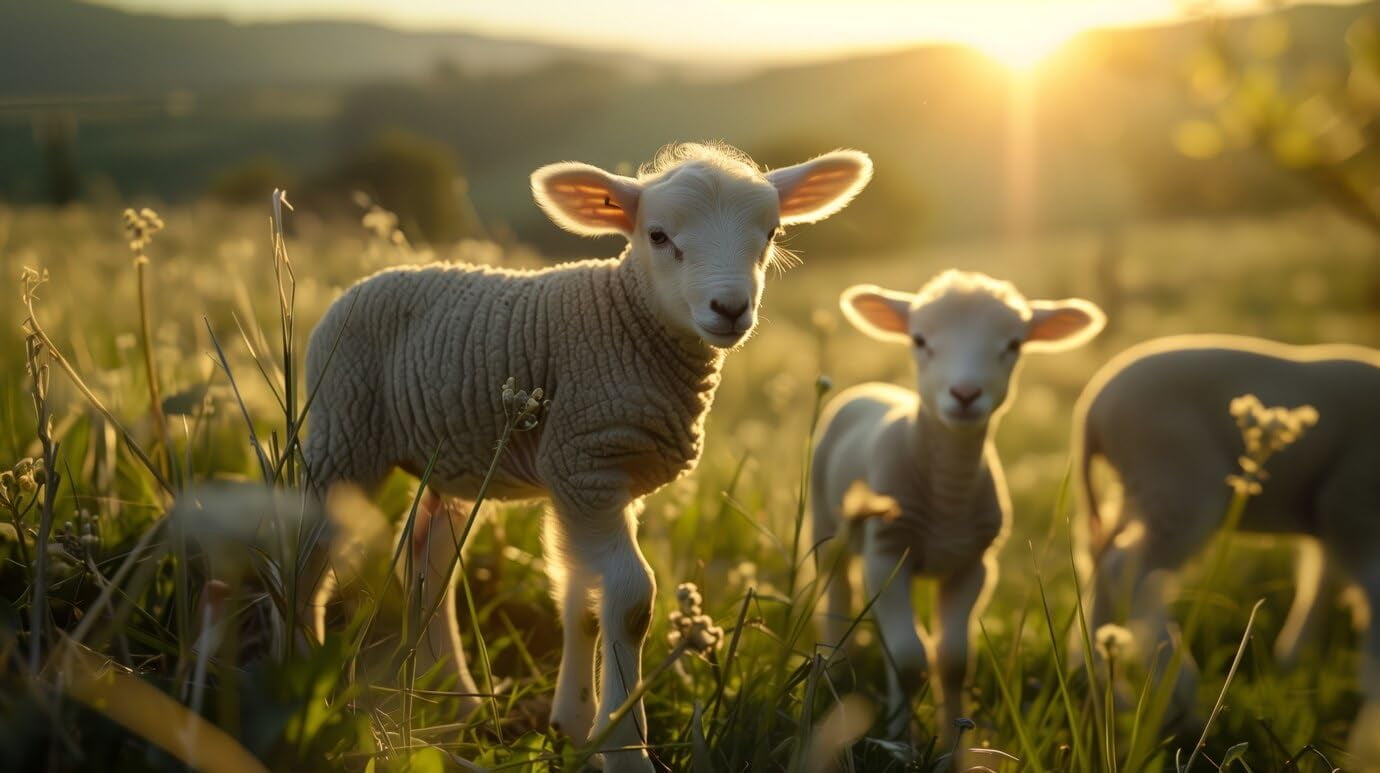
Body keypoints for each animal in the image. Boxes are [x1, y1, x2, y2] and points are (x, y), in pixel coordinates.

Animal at [302, 141, 873, 771]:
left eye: (771, 233)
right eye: (658, 236)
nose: (729, 308)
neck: (625, 318)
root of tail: (364, 282)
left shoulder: (603, 477)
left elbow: (580, 597)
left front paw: (573, 725)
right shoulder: (587, 462)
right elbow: (631, 600)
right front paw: (623, 746)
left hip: (450, 459)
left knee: (428, 557)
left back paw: (453, 702)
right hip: (343, 427)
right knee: (308, 551)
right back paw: (306, 676)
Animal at [812, 270, 1105, 739]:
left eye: (1013, 345)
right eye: (919, 340)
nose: (965, 394)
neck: (948, 495)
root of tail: (871, 389)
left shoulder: (974, 564)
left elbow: (953, 660)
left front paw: (953, 743)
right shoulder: (886, 554)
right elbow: (908, 657)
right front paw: (899, 741)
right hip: (825, 522)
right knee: (837, 590)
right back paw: (836, 670)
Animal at [1073, 334, 1380, 764]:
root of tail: (1093, 407)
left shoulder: (1332, 520)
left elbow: (1320, 583)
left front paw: (1292, 664)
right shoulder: (1353, 504)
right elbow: (1371, 595)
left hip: (1139, 490)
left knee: (1103, 566)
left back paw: (1103, 684)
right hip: (1179, 482)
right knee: (1128, 572)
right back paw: (1176, 690)